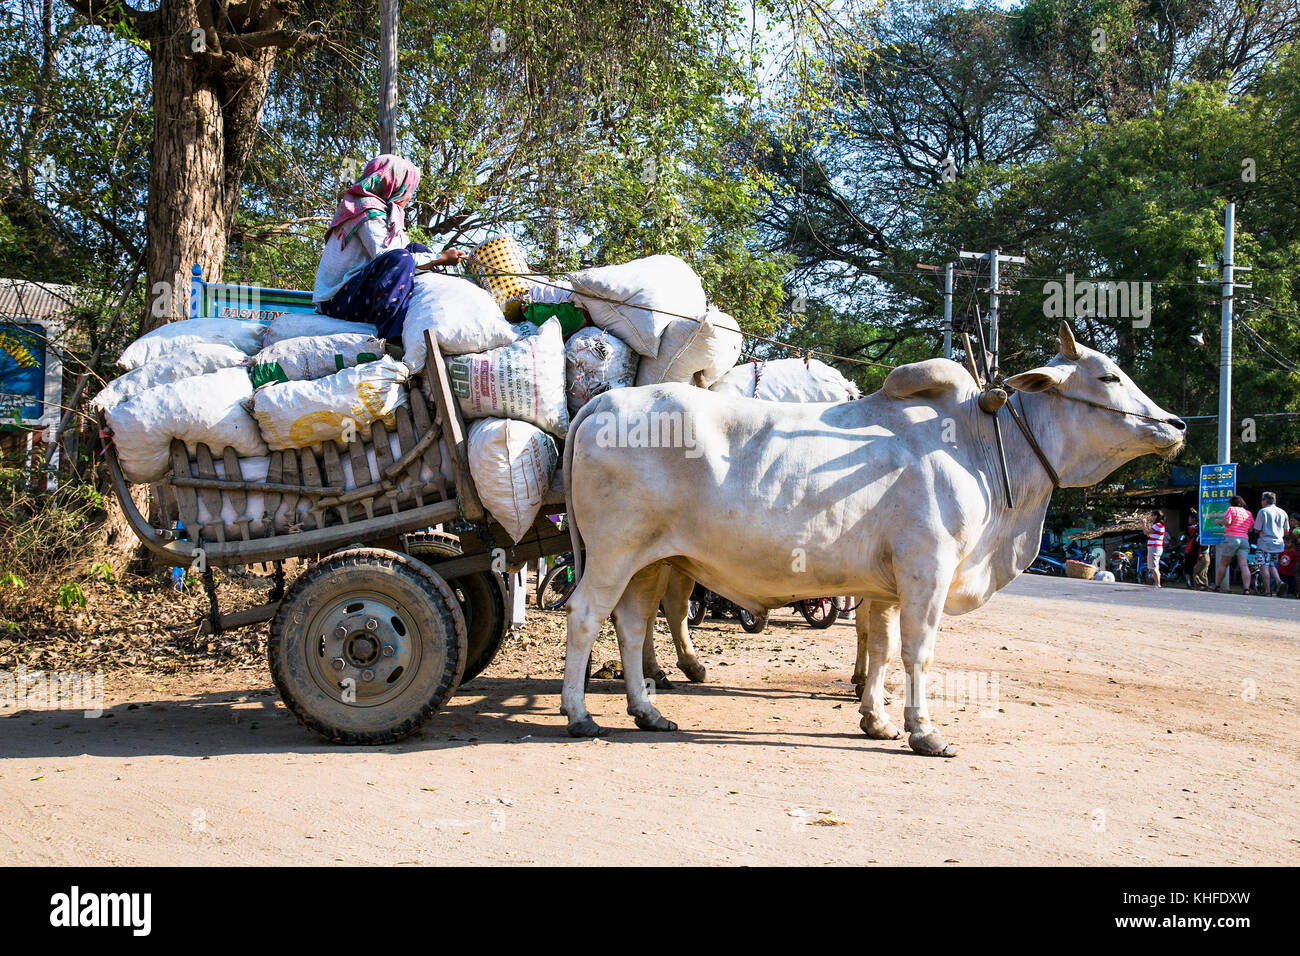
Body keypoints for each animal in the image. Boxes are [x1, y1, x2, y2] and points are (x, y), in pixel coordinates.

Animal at [558, 323, 1185, 755]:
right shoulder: (927, 572)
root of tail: (602, 401)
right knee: (587, 615)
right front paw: (924, 731)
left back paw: (647, 711)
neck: (978, 443)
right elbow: (917, 652)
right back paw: (579, 715)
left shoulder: (884, 589)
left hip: (649, 560)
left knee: (632, 623)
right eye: (1107, 376)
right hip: (614, 553)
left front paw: (876, 719)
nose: (1177, 425)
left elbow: (879, 649)